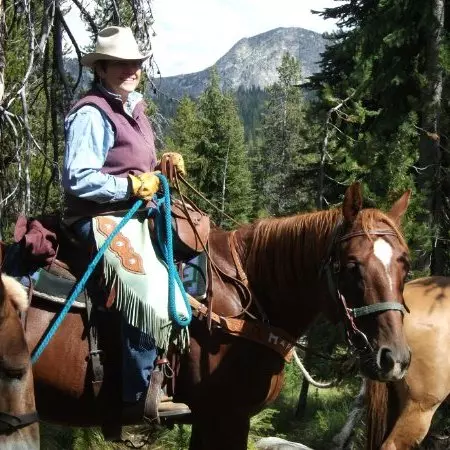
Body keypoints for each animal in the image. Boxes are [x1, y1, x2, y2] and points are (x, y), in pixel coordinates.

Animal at [5, 183, 412, 450]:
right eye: (351, 266)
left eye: (404, 265)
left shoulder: (210, 418)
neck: (250, 302)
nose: (394, 359)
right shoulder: (226, 416)